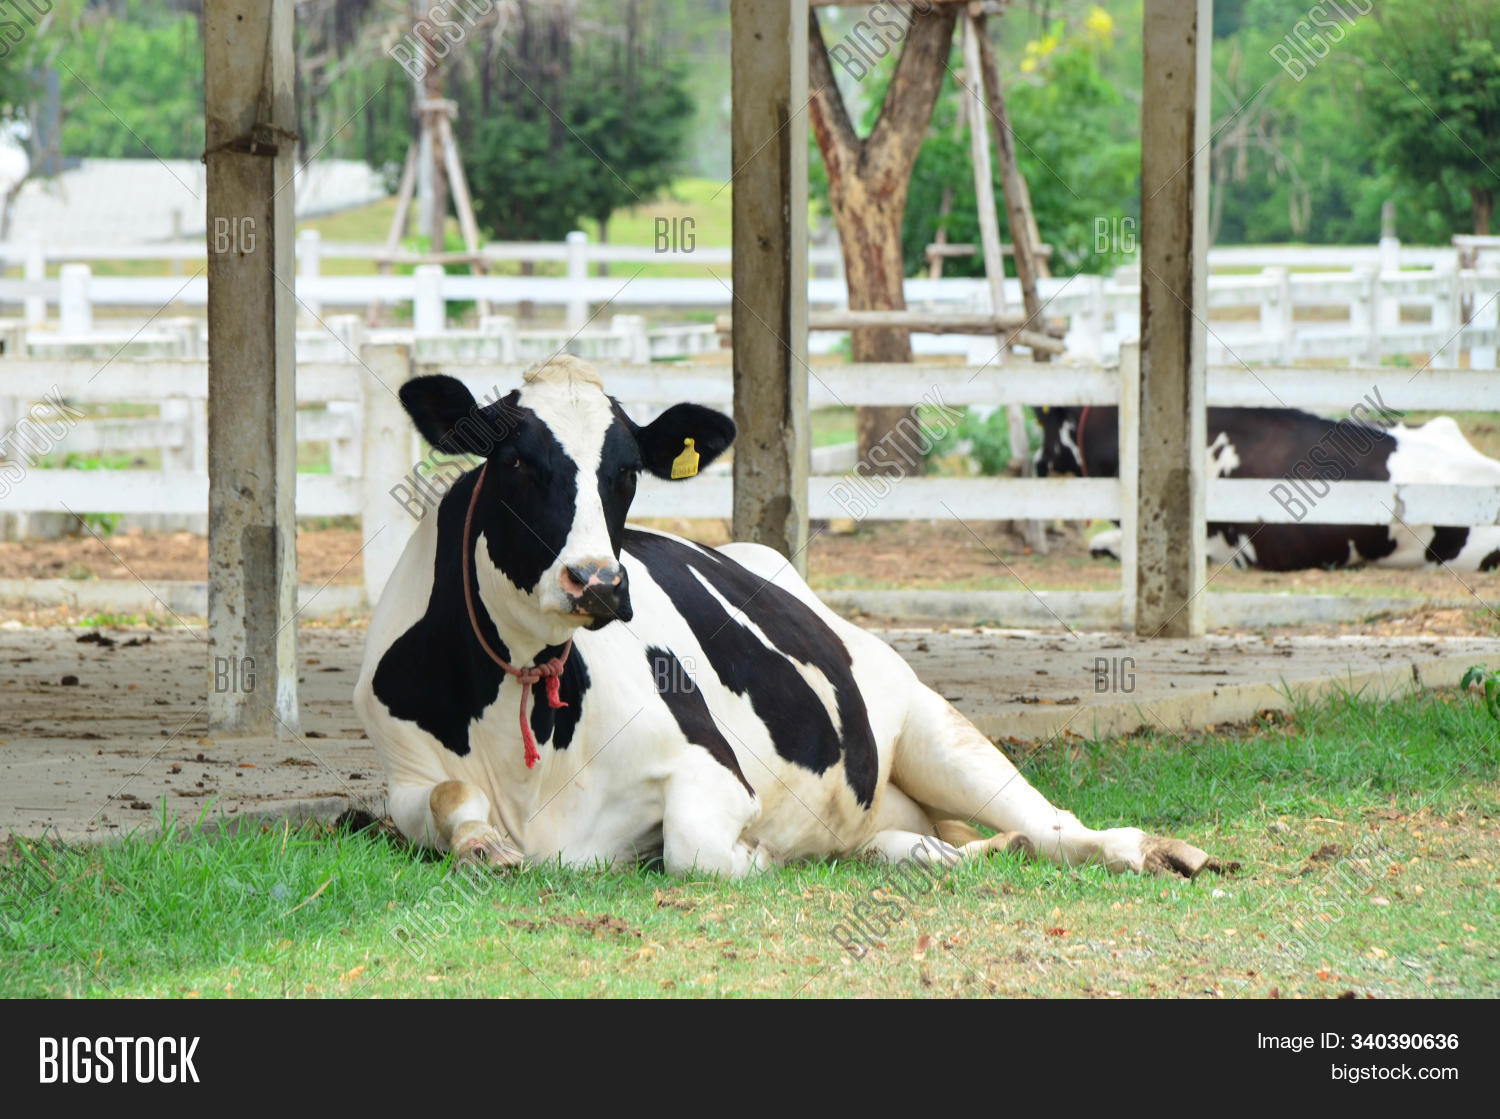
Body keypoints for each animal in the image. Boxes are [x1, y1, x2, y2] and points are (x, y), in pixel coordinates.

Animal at [354, 356, 1214, 879]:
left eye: (625, 472)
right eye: (516, 461)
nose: (598, 581)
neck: (524, 702)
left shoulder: (708, 765)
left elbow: (696, 847)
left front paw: (764, 853)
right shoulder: (403, 772)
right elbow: (447, 797)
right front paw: (484, 843)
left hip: (932, 724)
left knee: (1054, 825)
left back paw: (1157, 848)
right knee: (934, 842)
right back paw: (923, 849)